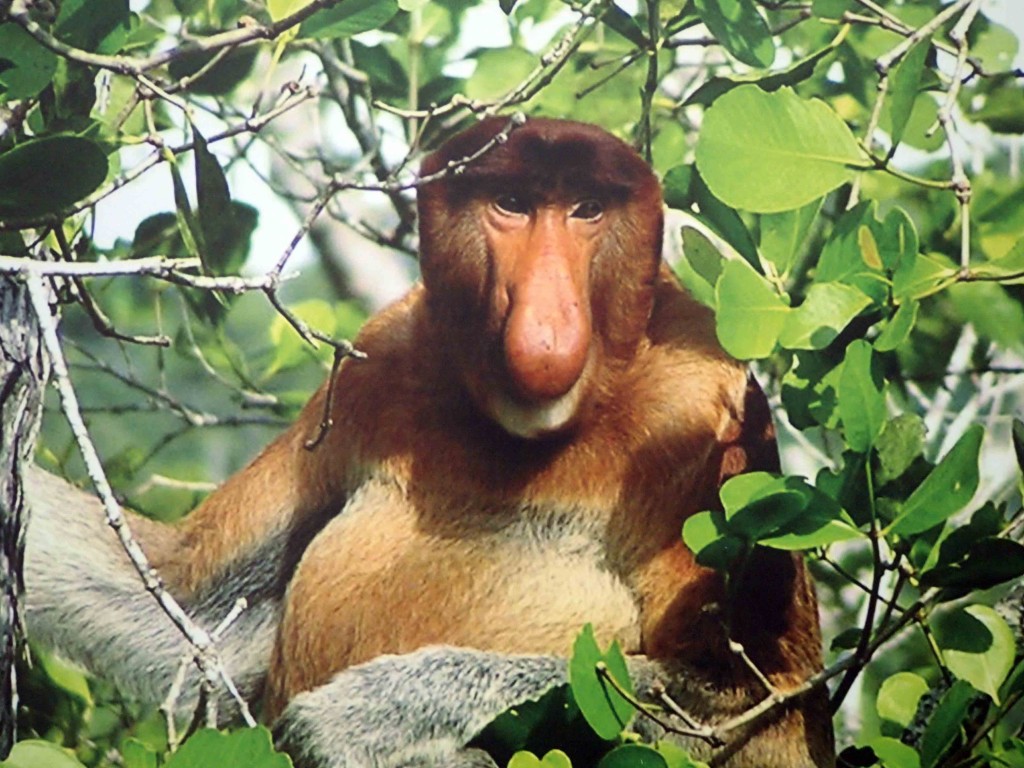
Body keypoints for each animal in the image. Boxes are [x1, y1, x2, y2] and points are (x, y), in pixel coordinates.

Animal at [21, 117, 834, 768]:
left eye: (586, 210)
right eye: (511, 205)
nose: (546, 326)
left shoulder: (706, 412)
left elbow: (751, 705)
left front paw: (362, 717)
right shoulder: (374, 366)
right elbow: (188, 603)